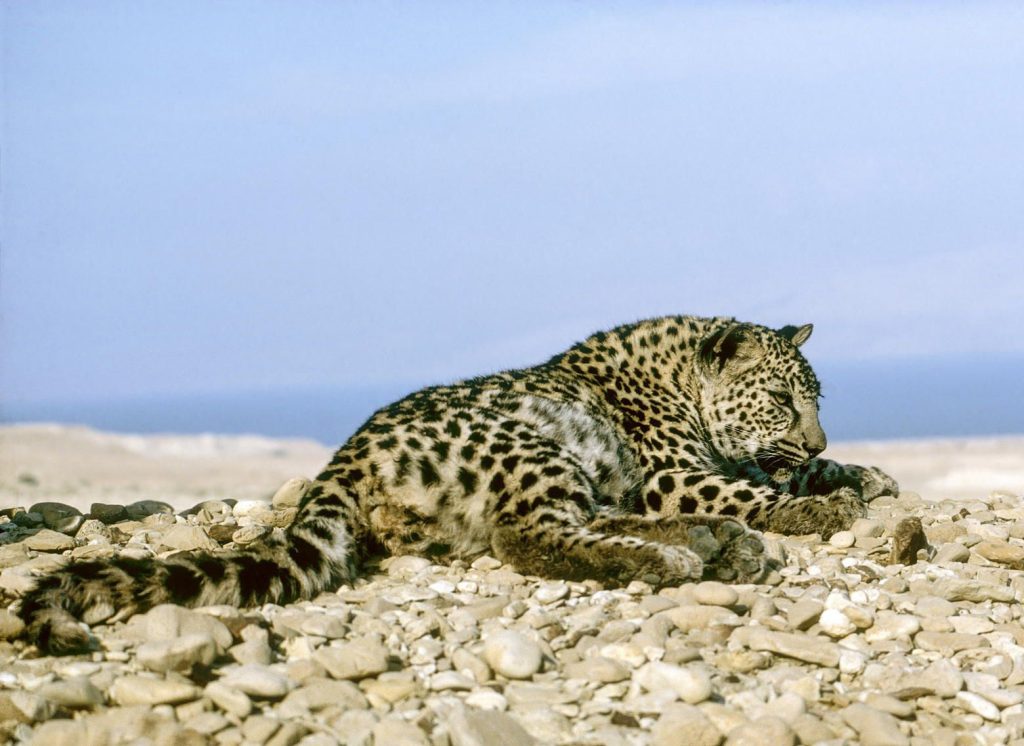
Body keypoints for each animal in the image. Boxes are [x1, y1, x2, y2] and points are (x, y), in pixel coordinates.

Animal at [19, 315, 898, 654]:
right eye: (780, 398)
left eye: (817, 401)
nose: (818, 435)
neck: (676, 378)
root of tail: (347, 457)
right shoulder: (672, 475)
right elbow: (753, 490)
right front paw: (825, 502)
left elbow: (778, 475)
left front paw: (864, 472)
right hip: (528, 444)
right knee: (529, 534)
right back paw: (680, 554)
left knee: (568, 522)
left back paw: (713, 549)